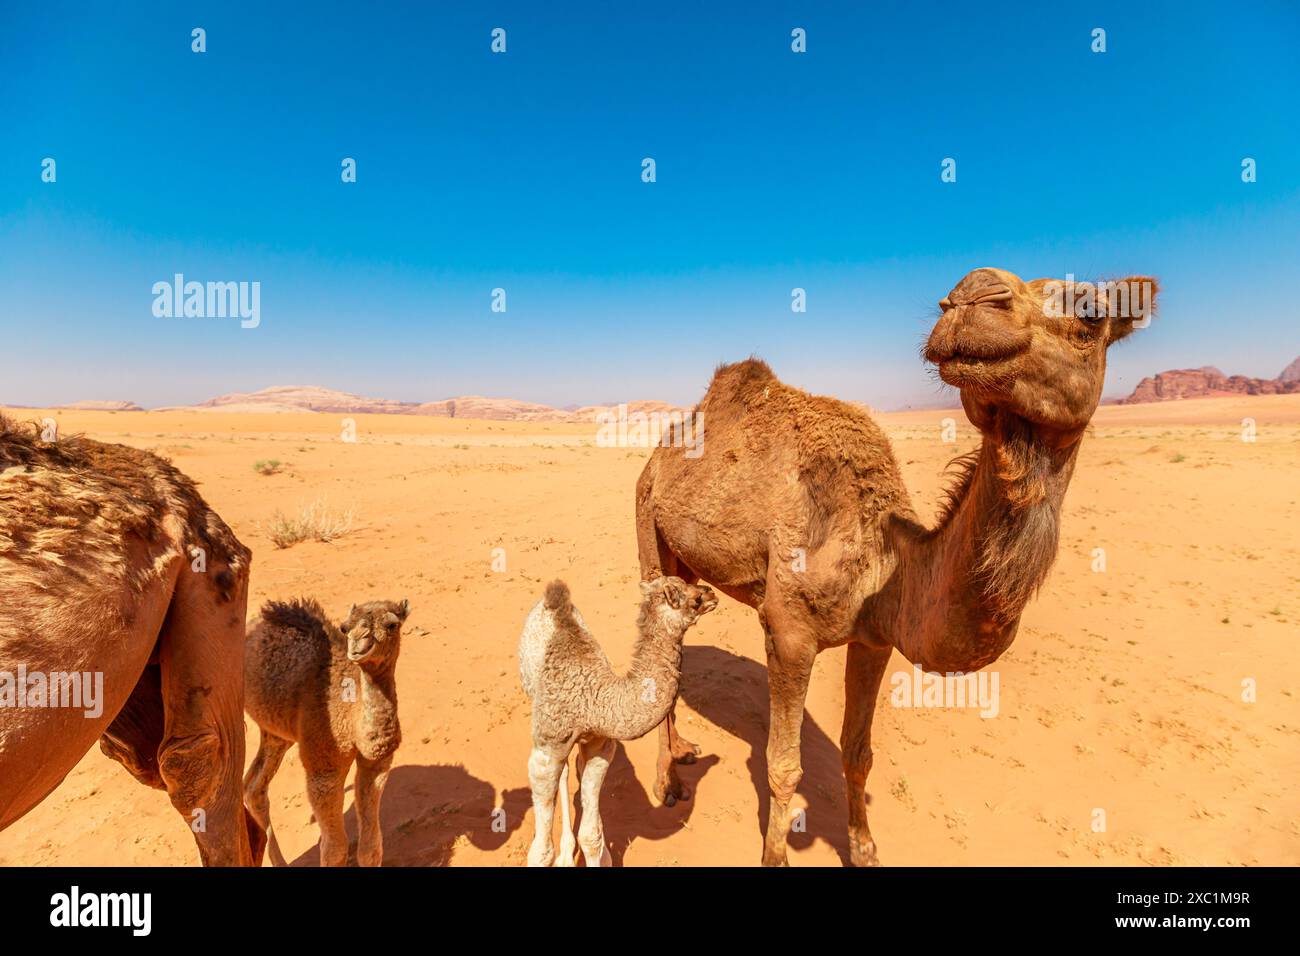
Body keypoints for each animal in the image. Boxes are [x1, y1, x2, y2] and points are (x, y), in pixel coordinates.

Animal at [243, 596, 410, 867]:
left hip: (277, 730)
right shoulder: (324, 768)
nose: (358, 643)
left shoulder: (378, 763)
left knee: (253, 786)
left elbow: (371, 847)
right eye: (345, 627)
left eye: (392, 625)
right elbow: (335, 849)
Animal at [518, 577, 717, 867]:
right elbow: (541, 852)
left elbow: (591, 836)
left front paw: (600, 851)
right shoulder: (546, 751)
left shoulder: (600, 746)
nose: (711, 593)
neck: (594, 700)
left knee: (577, 769)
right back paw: (566, 854)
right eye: (693, 598)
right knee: (563, 771)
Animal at [635, 267, 1159, 865]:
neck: (885, 559)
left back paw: (682, 751)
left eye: (1092, 314)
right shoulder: (788, 633)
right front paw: (777, 855)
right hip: (646, 518)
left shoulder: (875, 638)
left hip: (686, 560)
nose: (972, 295)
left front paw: (864, 848)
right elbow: (783, 766)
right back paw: (669, 783)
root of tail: (667, 443)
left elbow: (857, 751)